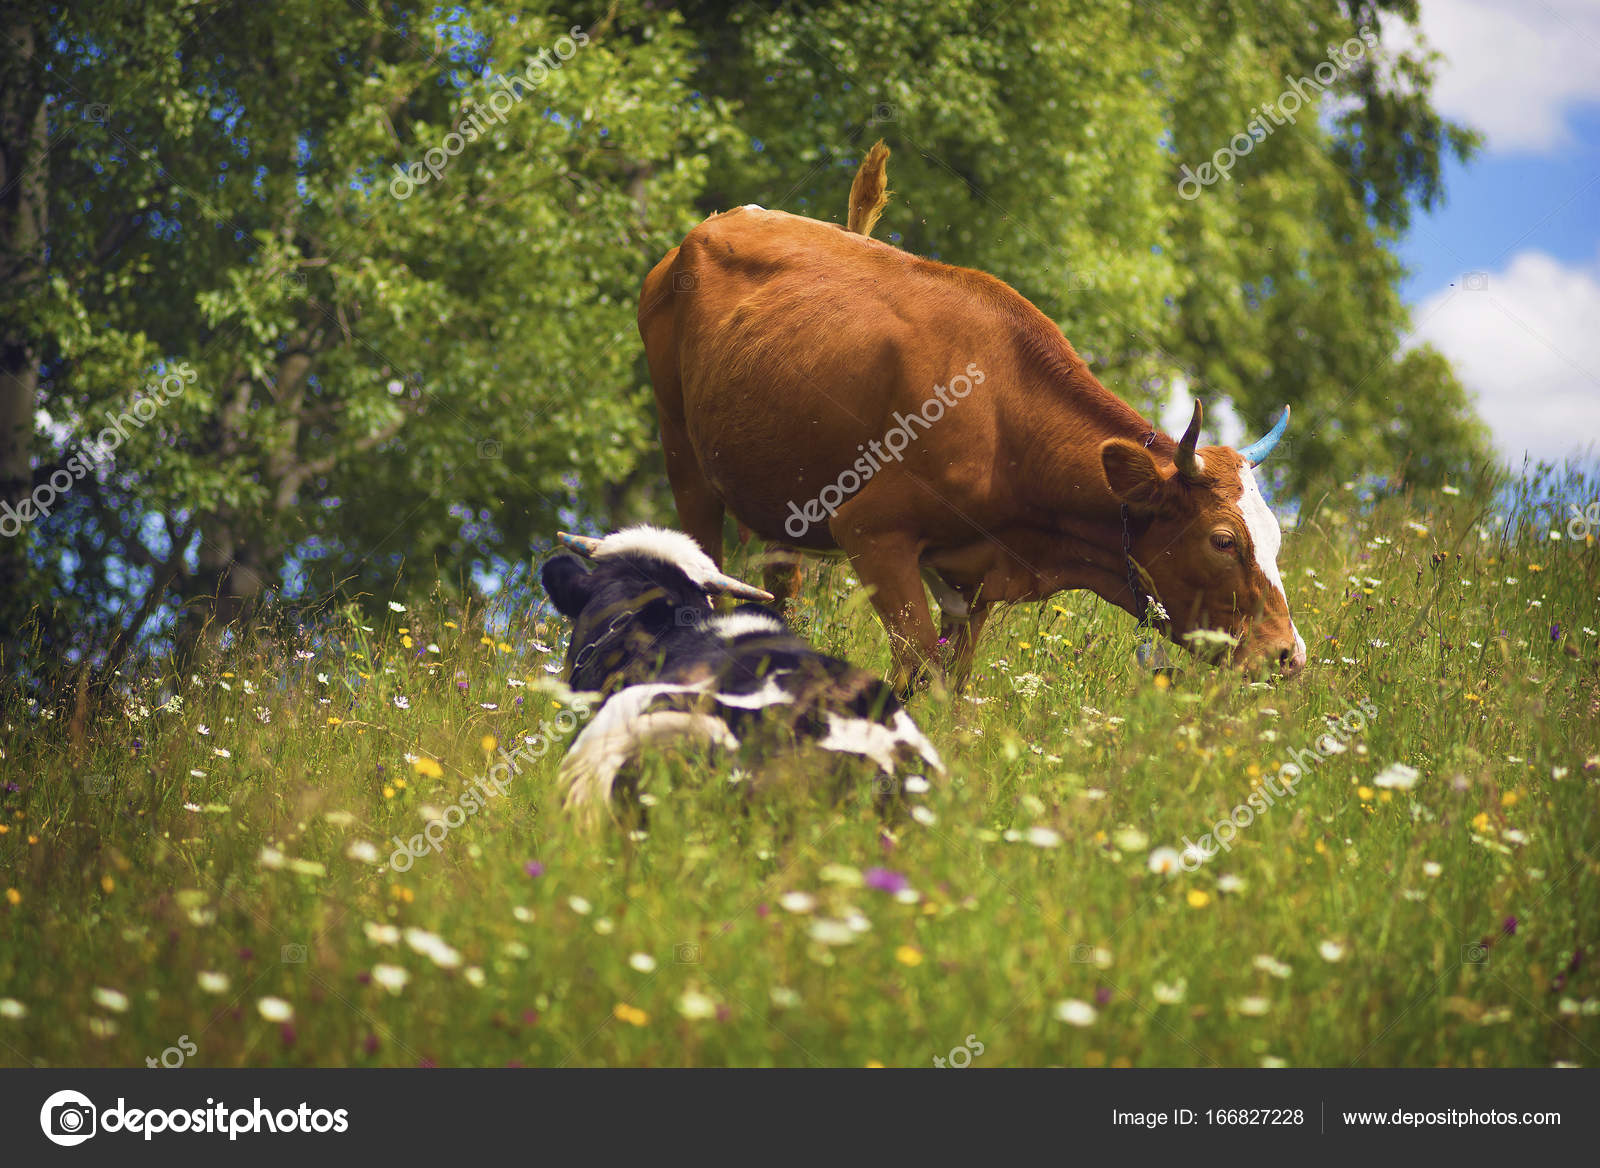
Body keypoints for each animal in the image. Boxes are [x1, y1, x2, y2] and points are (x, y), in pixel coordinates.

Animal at [637, 141, 1306, 692]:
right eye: (1222, 540)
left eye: (1275, 535)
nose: (1288, 655)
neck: (1003, 423)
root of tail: (717, 223)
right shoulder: (871, 532)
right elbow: (917, 668)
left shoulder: (974, 579)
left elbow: (954, 681)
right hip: (683, 458)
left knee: (780, 597)